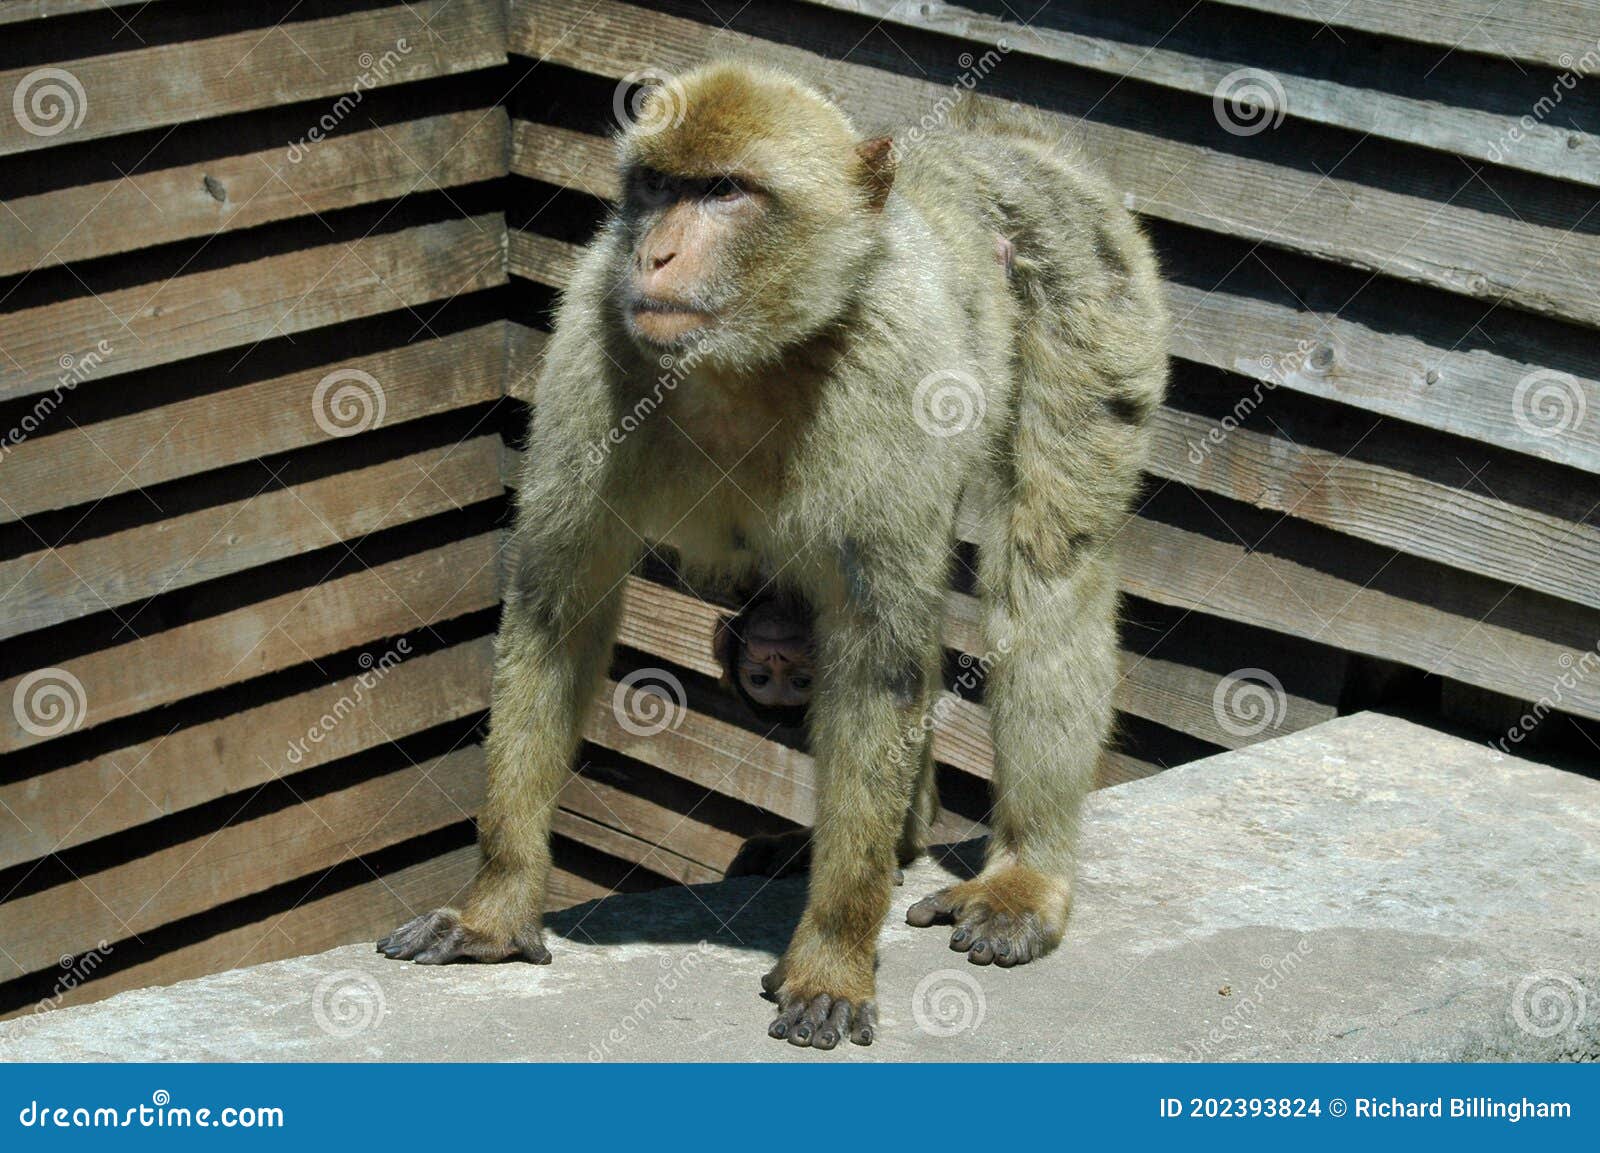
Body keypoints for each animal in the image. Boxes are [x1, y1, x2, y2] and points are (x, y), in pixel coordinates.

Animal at [379, 61, 1168, 1051]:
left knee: (1048, 560)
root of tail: (1006, 143)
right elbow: (556, 610)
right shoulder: (596, 340)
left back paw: (1026, 871)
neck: (748, 357)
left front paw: (833, 948)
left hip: (1088, 273)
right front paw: (498, 900)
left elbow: (876, 664)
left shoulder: (893, 370)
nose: (654, 256)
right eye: (658, 187)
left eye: (725, 192)